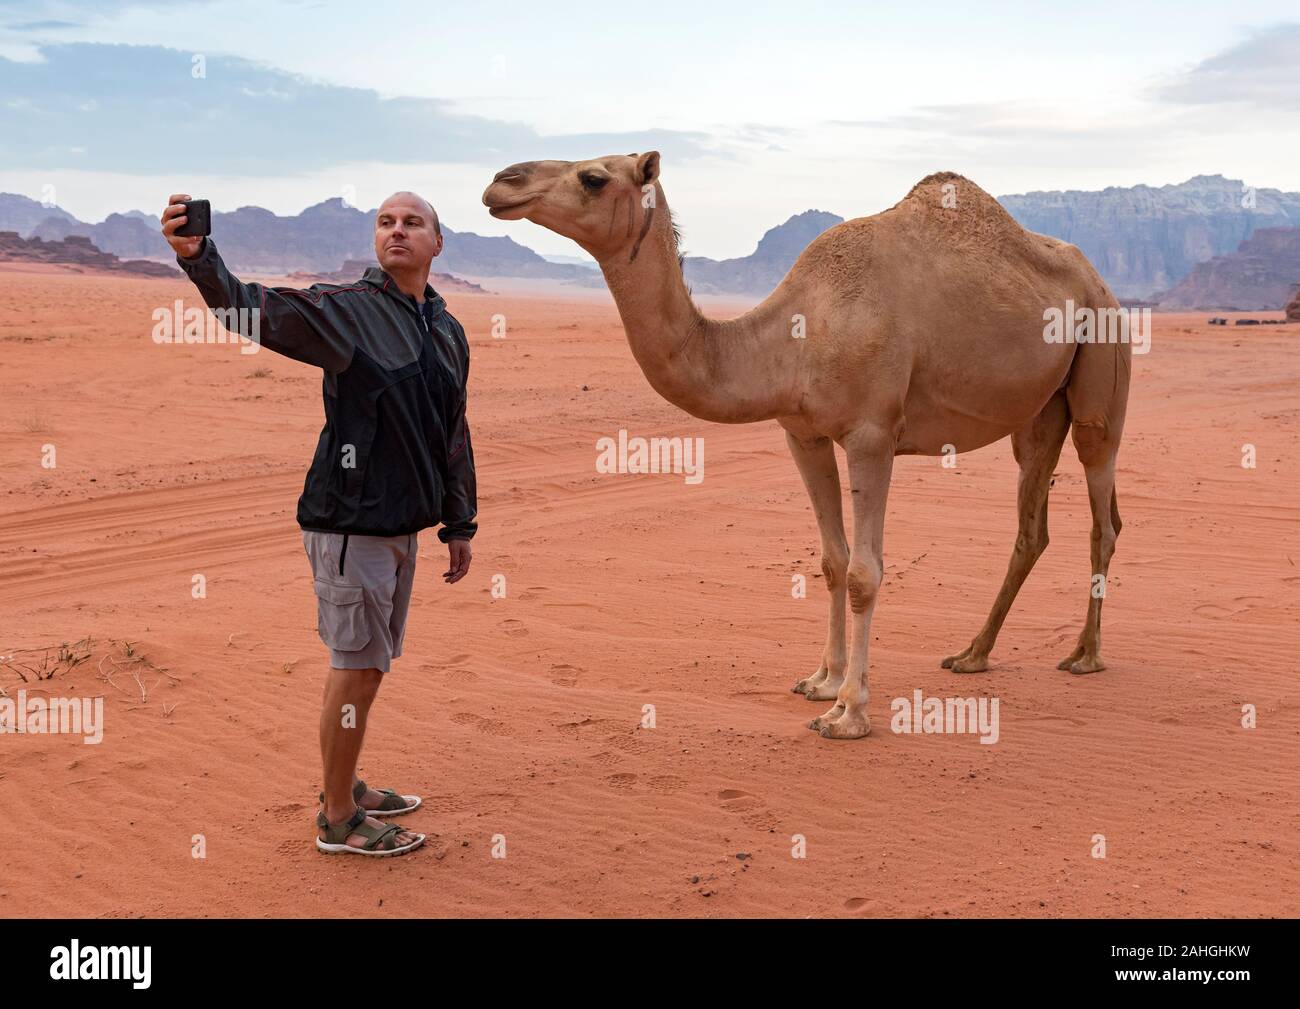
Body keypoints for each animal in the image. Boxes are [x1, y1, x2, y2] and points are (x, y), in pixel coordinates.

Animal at [482, 153, 1130, 739]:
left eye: (593, 177)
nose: (500, 183)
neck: (795, 334)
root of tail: (1100, 281)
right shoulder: (803, 433)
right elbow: (832, 560)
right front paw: (822, 681)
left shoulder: (872, 435)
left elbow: (866, 571)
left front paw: (848, 712)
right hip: (1038, 413)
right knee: (1032, 526)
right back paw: (973, 653)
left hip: (1102, 360)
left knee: (1102, 510)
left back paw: (1085, 655)